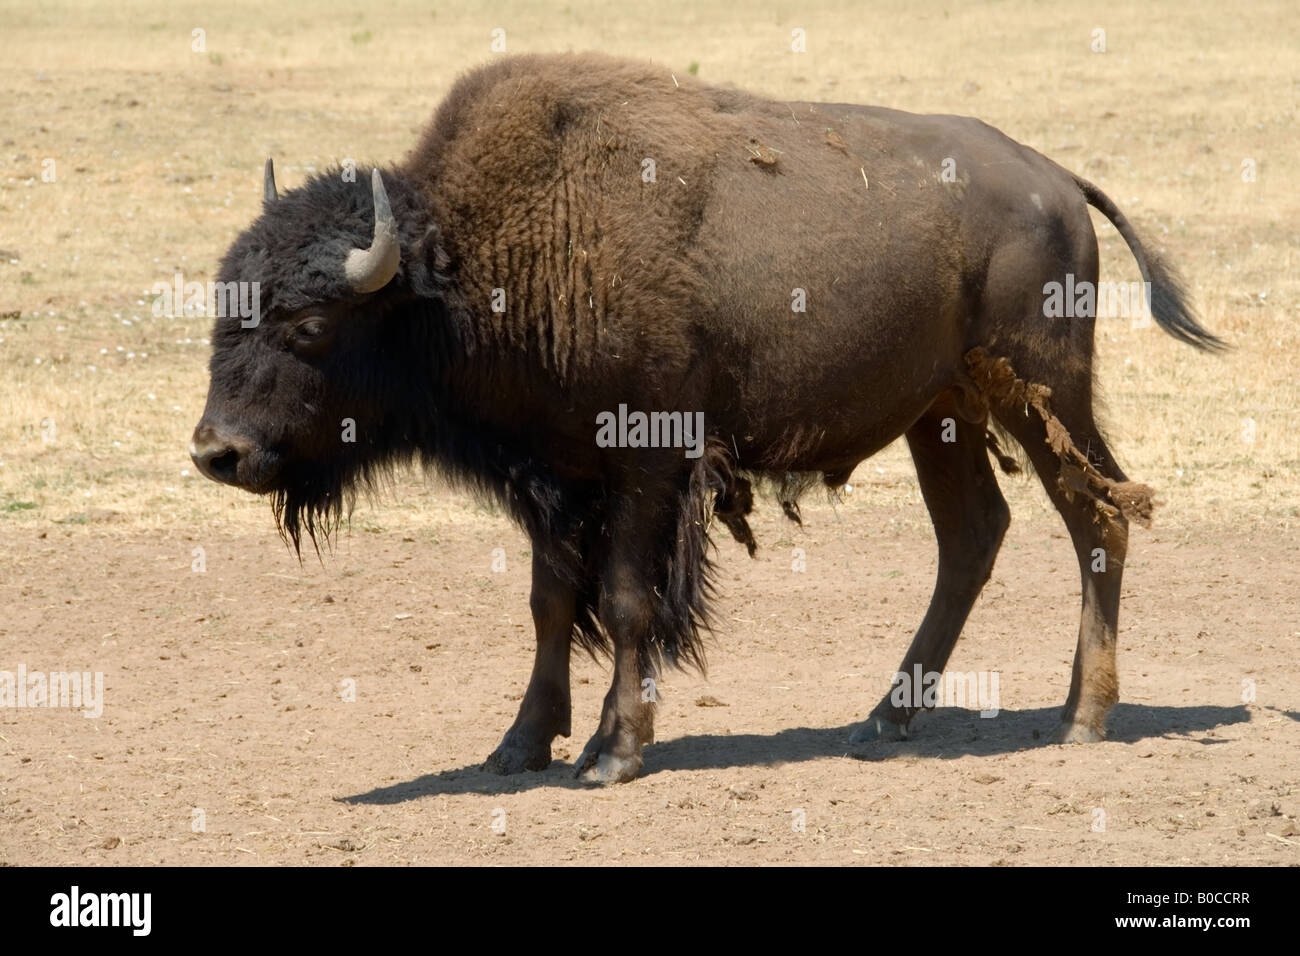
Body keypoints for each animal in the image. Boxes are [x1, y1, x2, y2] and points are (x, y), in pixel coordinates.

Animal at [191, 52, 1222, 783]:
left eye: (311, 324)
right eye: (224, 301)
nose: (216, 451)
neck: (479, 260)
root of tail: (1059, 181)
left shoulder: (647, 464)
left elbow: (625, 600)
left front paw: (614, 753)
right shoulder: (555, 480)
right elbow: (550, 603)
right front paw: (520, 746)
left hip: (1041, 393)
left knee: (1097, 518)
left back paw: (1081, 718)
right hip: (942, 415)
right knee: (973, 536)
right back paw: (883, 719)